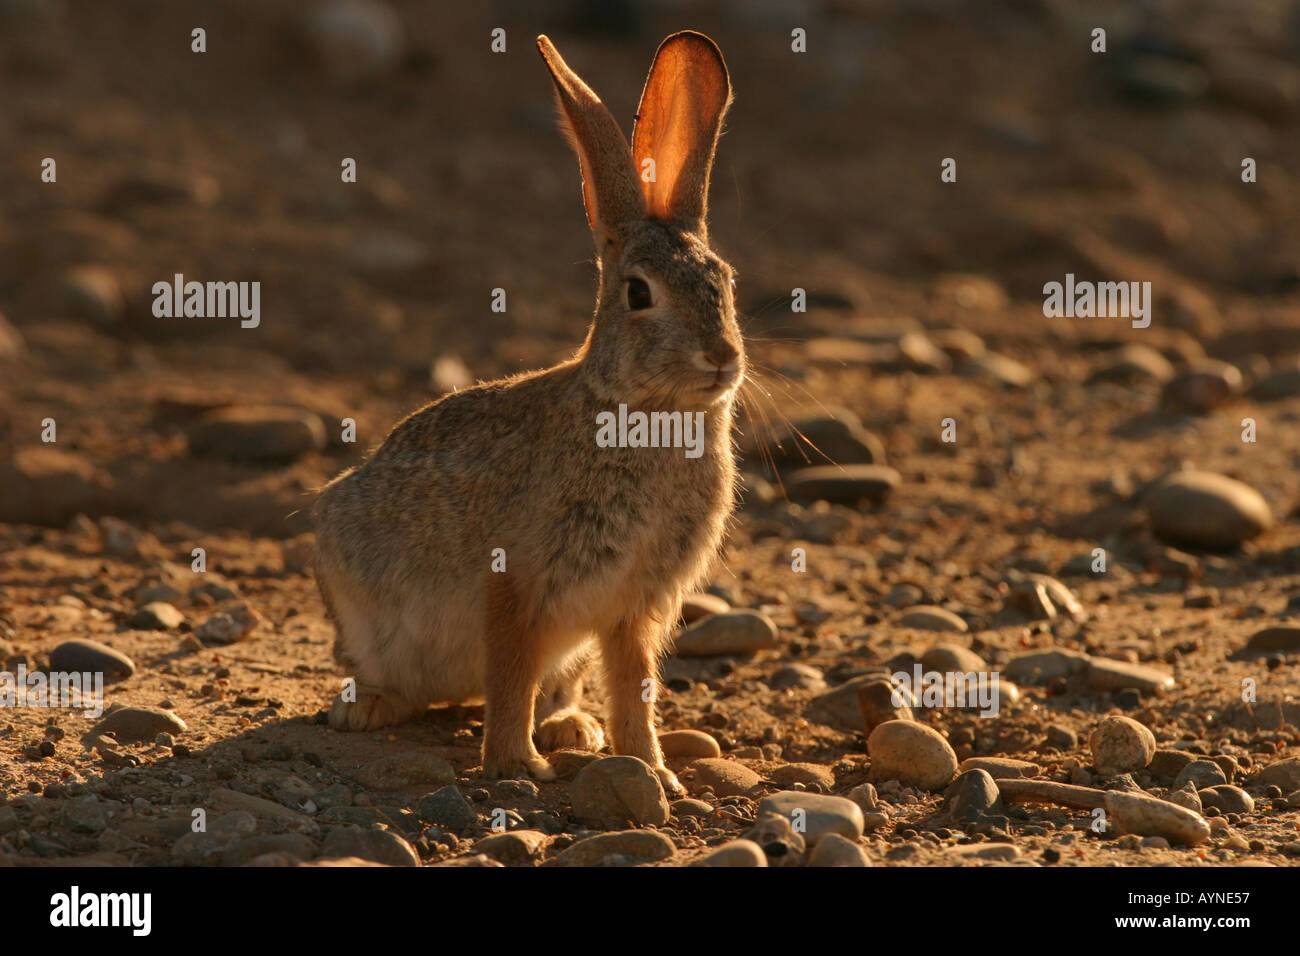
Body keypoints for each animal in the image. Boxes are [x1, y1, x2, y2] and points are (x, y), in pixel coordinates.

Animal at [313, 30, 742, 795]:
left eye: (725, 281)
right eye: (639, 293)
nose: (723, 357)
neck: (642, 412)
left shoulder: (633, 606)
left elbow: (634, 684)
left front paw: (653, 773)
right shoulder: (515, 581)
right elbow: (511, 670)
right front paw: (515, 765)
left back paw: (571, 727)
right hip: (355, 597)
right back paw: (369, 708)